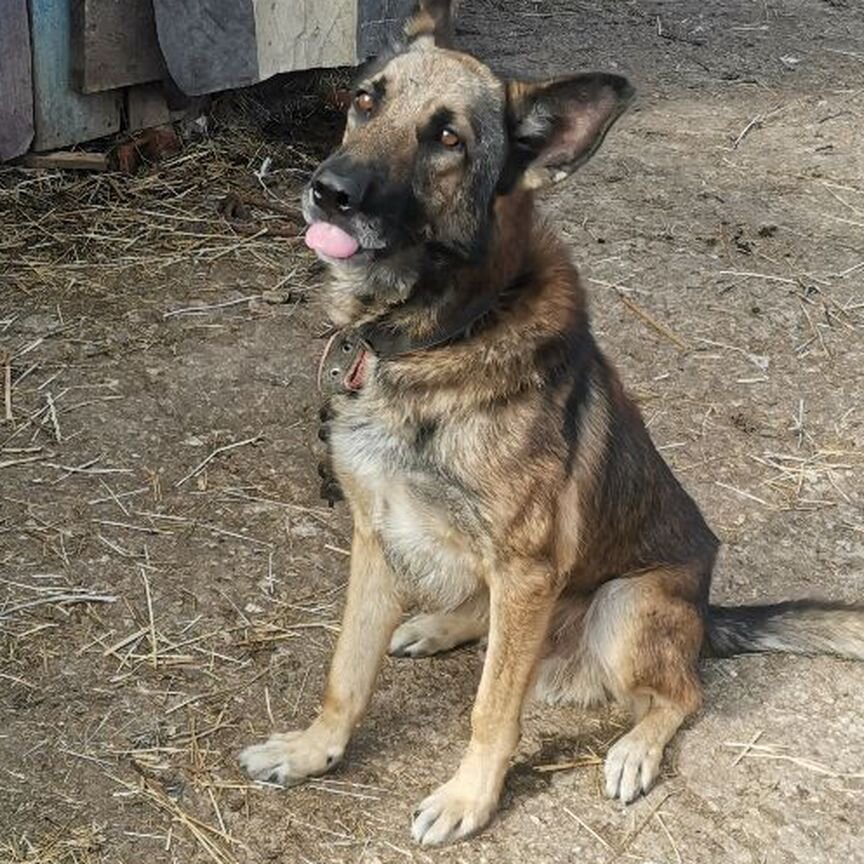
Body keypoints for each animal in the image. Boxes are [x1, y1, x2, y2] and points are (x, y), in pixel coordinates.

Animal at [240, 0, 864, 844]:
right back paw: (440, 625)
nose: (329, 191)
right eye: (366, 101)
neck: (444, 333)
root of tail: (707, 613)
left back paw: (633, 748)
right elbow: (347, 671)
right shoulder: (375, 534)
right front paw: (314, 750)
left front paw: (469, 797)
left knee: (681, 693)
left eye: (448, 140)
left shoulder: (528, 569)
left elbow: (491, 709)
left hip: (622, 606)